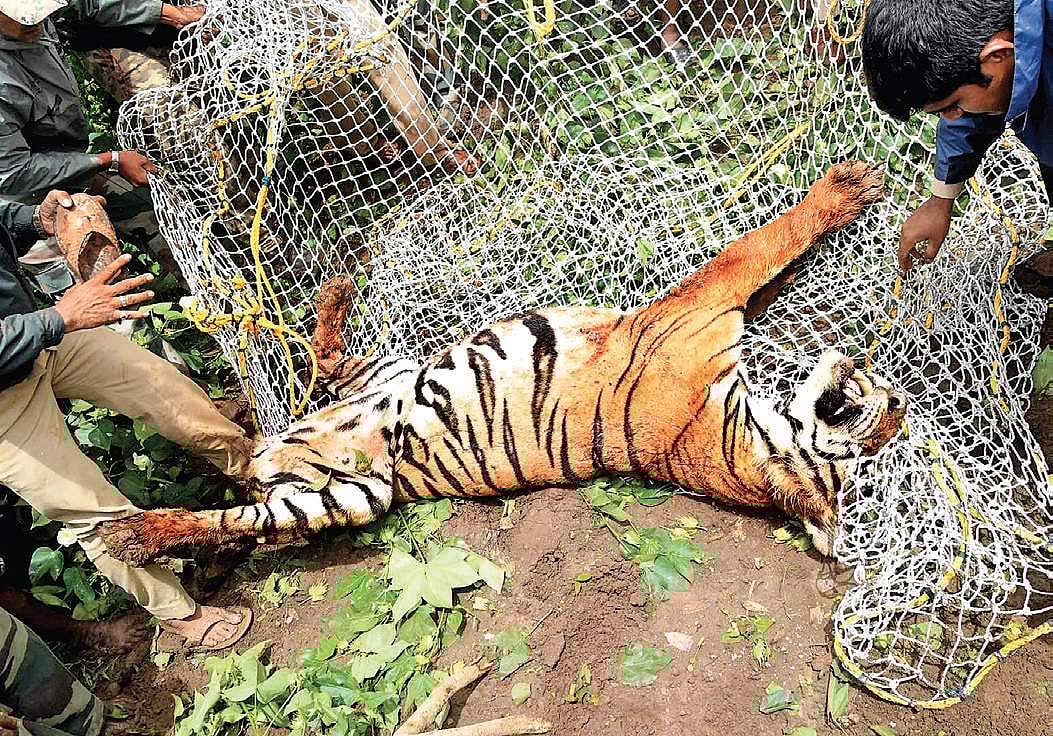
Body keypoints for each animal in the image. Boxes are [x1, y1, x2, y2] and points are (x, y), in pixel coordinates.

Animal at [98, 161, 905, 566]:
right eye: (876, 428)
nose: (894, 400)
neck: (740, 437)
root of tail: (272, 454)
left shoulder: (700, 314)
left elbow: (763, 249)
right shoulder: (707, 307)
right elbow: (765, 254)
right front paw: (848, 190)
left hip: (345, 497)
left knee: (239, 514)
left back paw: (136, 535)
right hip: (386, 376)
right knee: (323, 363)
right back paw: (334, 293)